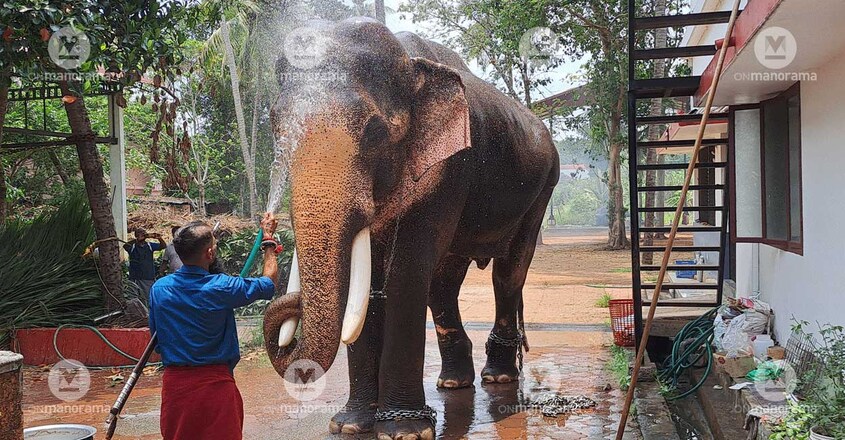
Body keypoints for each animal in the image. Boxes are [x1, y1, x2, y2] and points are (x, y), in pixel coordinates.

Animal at [262, 17, 559, 440]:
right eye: (276, 128)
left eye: (374, 132)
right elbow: (371, 284)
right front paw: (350, 424)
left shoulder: (449, 168)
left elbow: (406, 272)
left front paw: (404, 430)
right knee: (444, 283)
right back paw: (453, 383)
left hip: (543, 187)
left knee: (508, 274)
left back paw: (498, 378)